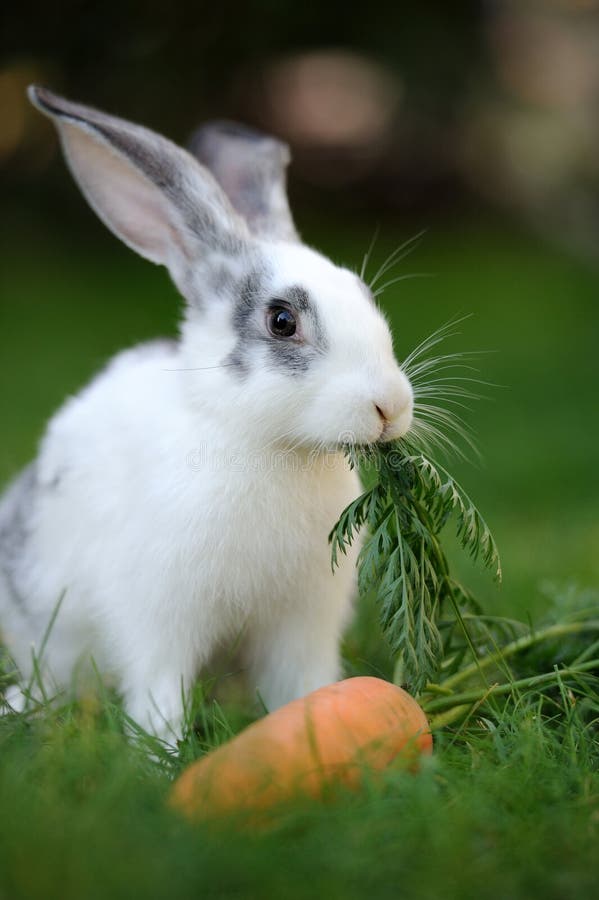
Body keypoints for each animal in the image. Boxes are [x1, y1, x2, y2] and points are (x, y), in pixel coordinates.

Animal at [0, 87, 414, 743]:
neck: (267, 444)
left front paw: (315, 721)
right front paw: (159, 756)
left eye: (364, 295)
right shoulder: (159, 618)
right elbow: (157, 691)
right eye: (281, 321)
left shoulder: (301, 625)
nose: (390, 407)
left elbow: (301, 683)